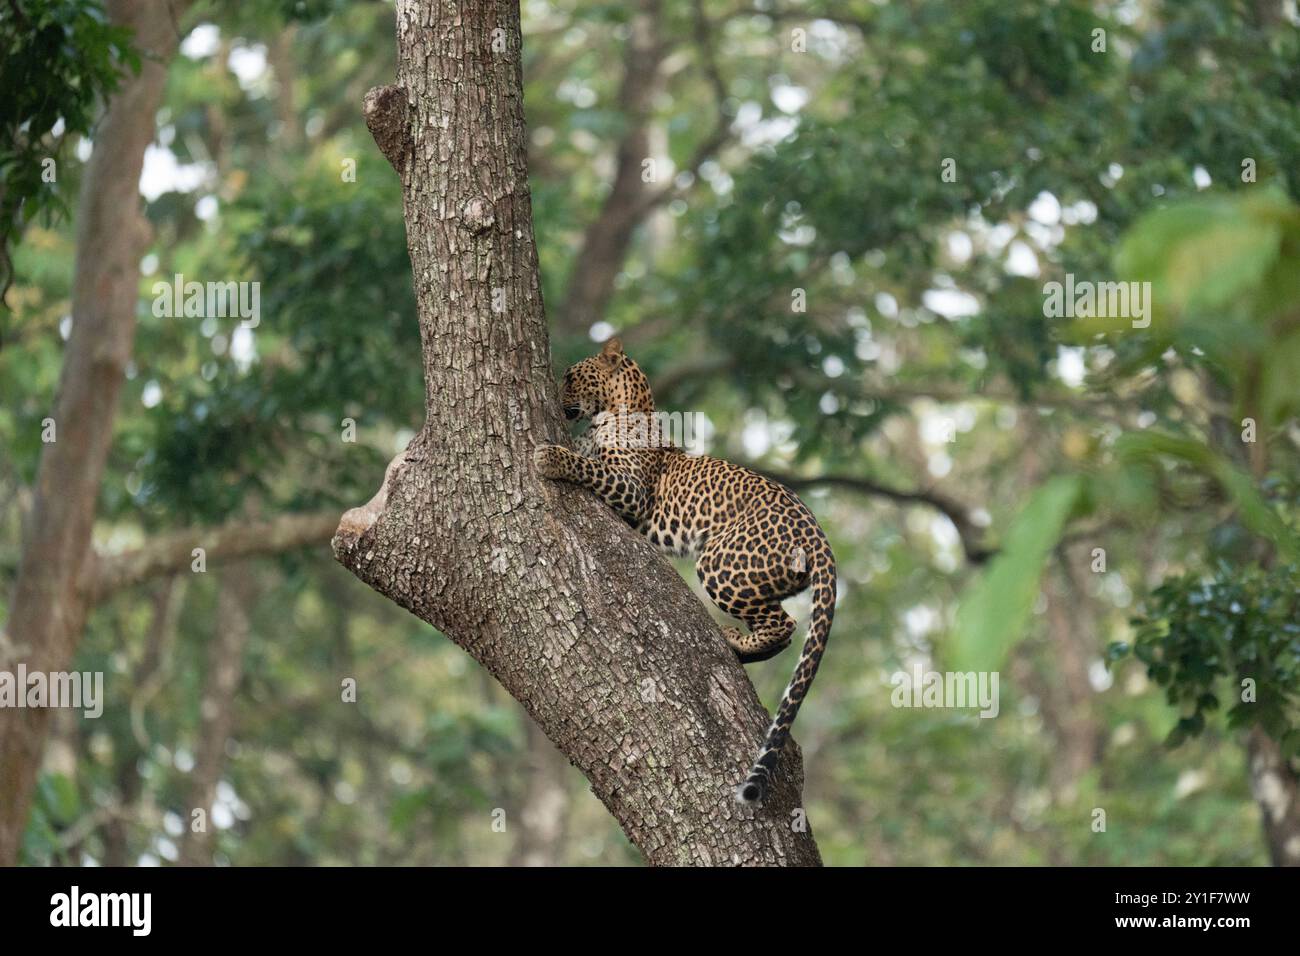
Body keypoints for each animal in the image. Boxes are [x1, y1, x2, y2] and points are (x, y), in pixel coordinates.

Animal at [533, 338, 836, 805]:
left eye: (569, 376)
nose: (554, 390)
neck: (623, 411)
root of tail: (819, 537)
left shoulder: (631, 492)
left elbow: (590, 466)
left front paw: (550, 456)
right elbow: (587, 456)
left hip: (720, 561)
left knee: (784, 624)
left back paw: (733, 639)